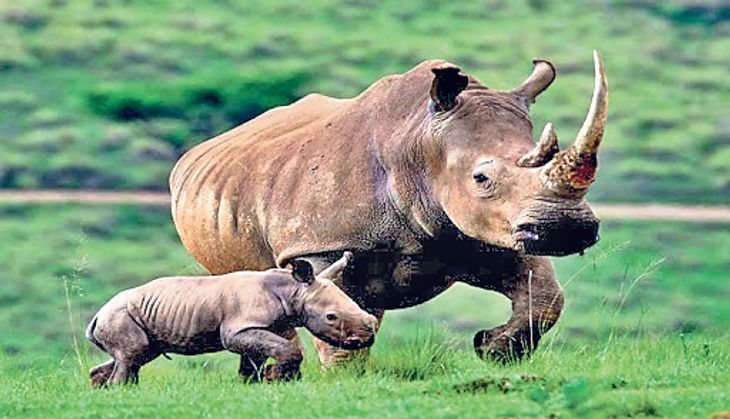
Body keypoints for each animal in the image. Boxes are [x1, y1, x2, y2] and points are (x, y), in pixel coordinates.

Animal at [86, 252, 377, 386]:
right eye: (331, 317)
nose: (367, 337)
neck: (292, 290)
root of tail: (96, 316)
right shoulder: (239, 330)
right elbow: (287, 349)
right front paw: (282, 378)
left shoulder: (262, 328)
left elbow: (254, 359)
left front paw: (257, 383)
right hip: (119, 314)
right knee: (134, 352)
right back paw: (120, 390)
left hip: (134, 315)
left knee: (141, 353)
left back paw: (103, 388)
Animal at [170, 51, 608, 364]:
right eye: (481, 178)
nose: (568, 229)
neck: (417, 144)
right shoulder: (319, 244)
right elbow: (337, 330)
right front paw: (345, 380)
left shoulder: (485, 230)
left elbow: (545, 296)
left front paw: (491, 348)